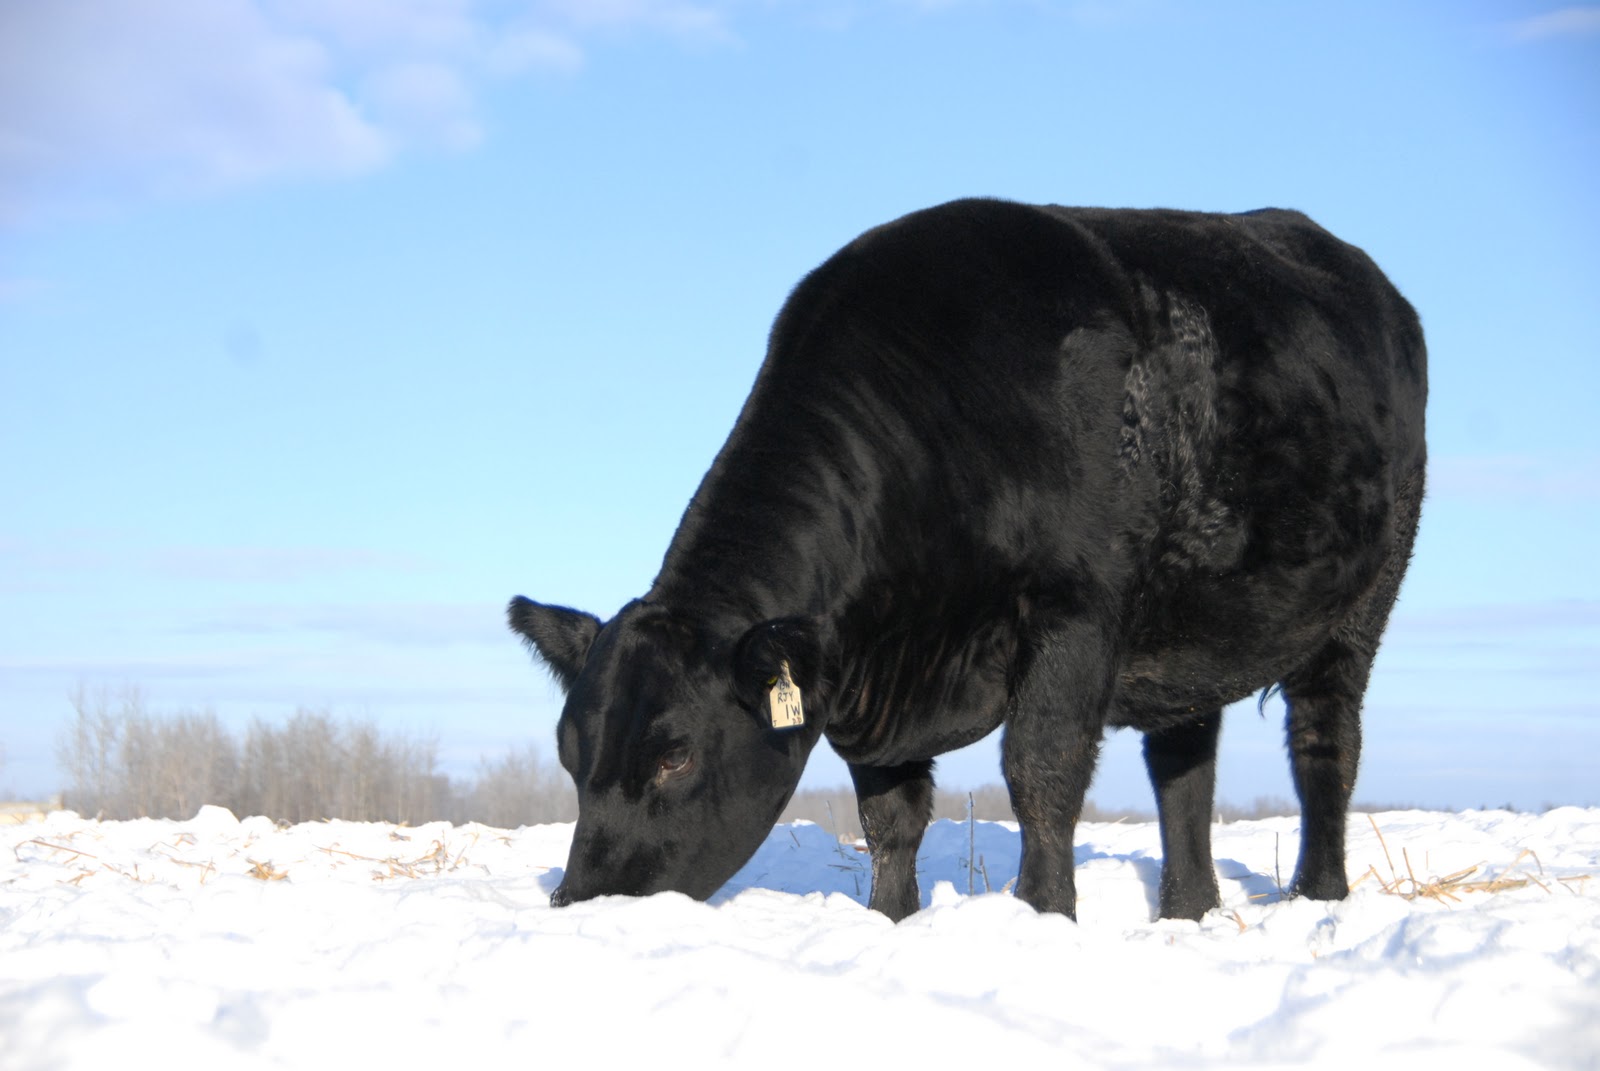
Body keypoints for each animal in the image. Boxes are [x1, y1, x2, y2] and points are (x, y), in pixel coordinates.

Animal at [509, 198, 1427, 923]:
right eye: (569, 754)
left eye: (677, 755)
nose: (579, 903)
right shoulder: (867, 683)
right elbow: (890, 817)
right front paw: (891, 920)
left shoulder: (1077, 612)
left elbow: (1040, 771)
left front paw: (1043, 915)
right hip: (1188, 629)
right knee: (1182, 763)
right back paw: (1186, 913)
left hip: (1364, 599)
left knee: (1325, 744)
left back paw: (1317, 895)